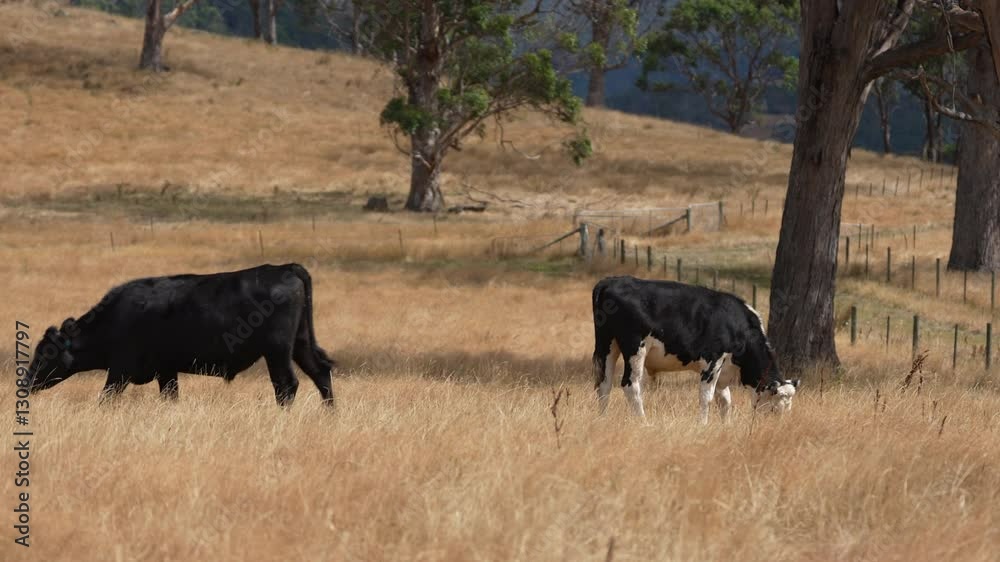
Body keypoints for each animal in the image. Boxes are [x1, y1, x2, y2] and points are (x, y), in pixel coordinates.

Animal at [26, 263, 336, 408]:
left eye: (45, 353)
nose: (26, 382)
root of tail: (286, 267)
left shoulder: (120, 369)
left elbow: (106, 397)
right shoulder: (166, 371)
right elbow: (170, 397)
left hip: (277, 350)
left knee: (286, 384)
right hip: (300, 343)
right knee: (320, 372)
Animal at [591, 276, 798, 423]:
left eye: (788, 408)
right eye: (774, 409)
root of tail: (611, 281)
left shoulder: (724, 371)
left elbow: (725, 400)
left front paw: (726, 426)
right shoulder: (713, 361)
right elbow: (706, 397)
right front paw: (703, 425)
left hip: (607, 345)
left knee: (604, 383)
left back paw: (602, 419)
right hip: (635, 348)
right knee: (630, 385)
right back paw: (643, 422)